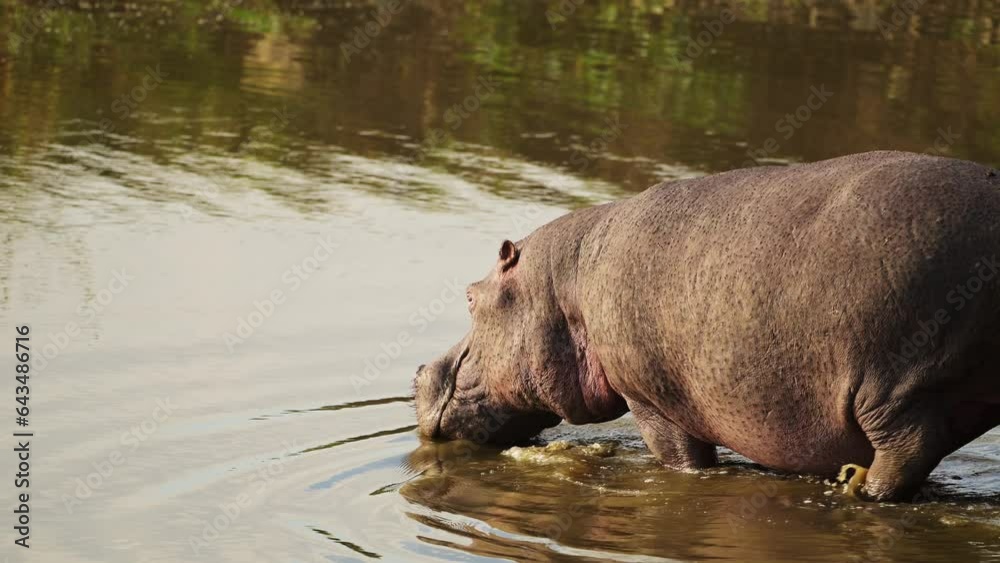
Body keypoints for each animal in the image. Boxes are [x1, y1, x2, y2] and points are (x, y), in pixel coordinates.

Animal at [413, 151, 1000, 501]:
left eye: (470, 296)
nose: (419, 371)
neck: (564, 286)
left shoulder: (650, 400)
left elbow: (681, 459)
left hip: (895, 381)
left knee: (907, 448)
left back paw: (860, 490)